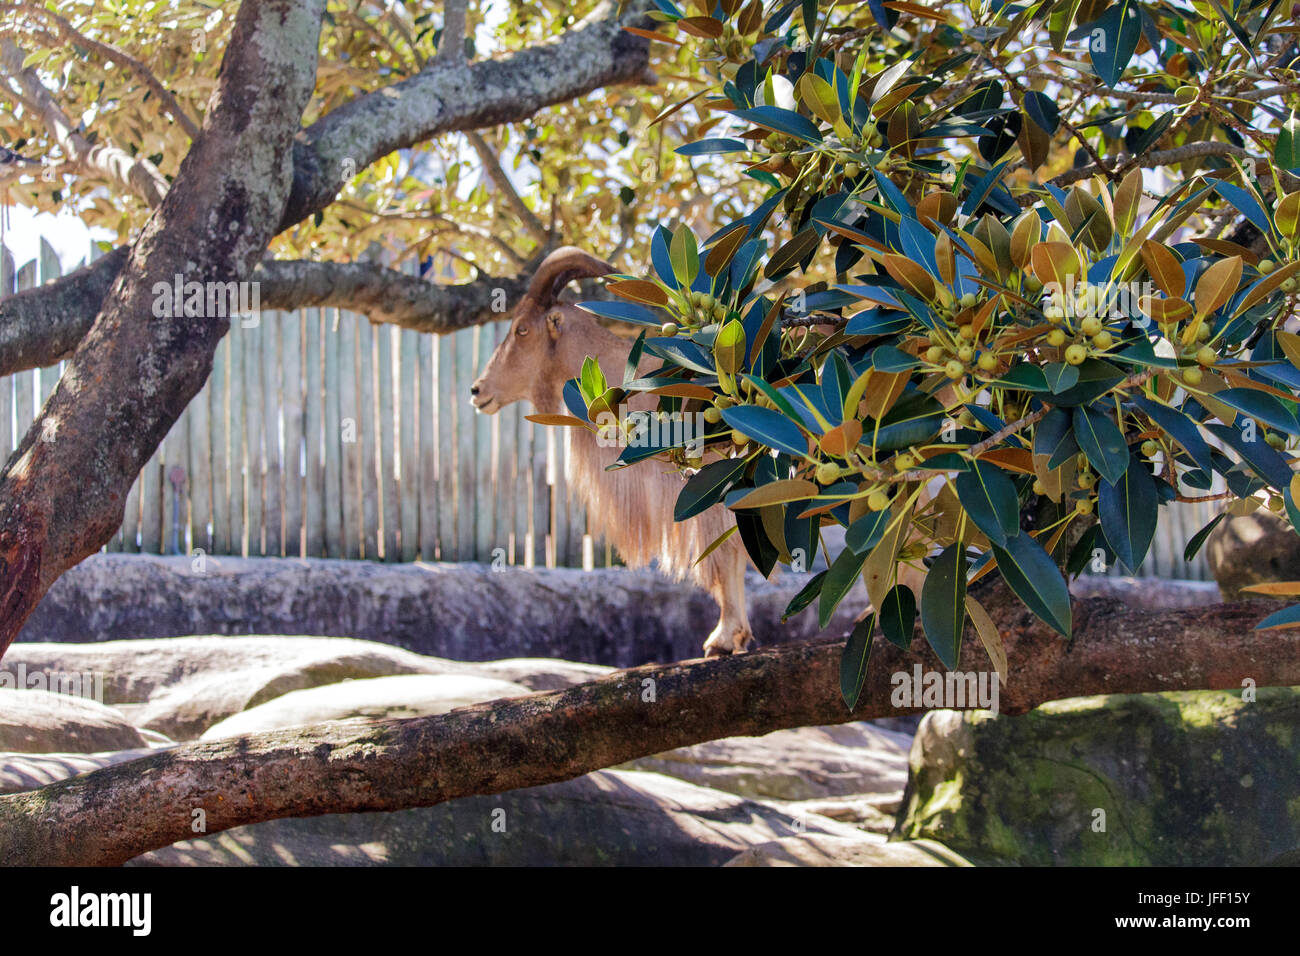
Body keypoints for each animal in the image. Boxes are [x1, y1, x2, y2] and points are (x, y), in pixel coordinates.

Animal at [470, 247, 753, 657]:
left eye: (522, 329)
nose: (477, 391)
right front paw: (735, 635)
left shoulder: (714, 485)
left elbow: (726, 553)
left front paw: (724, 638)